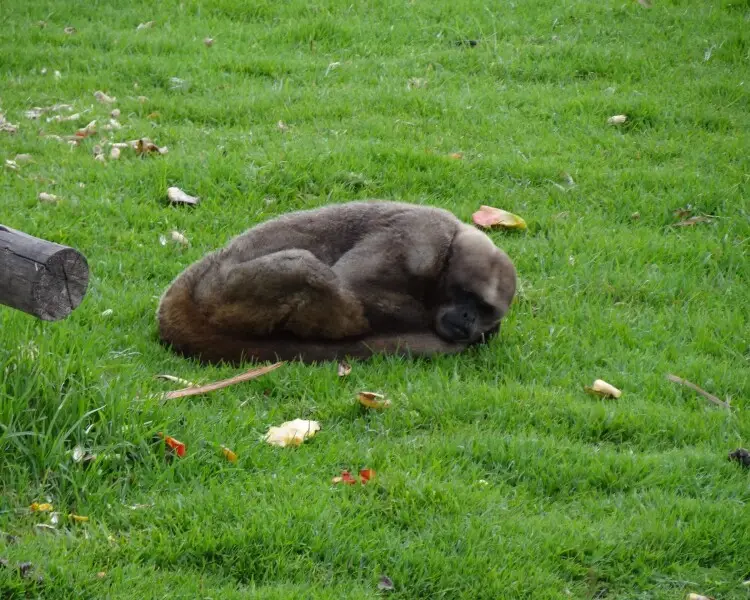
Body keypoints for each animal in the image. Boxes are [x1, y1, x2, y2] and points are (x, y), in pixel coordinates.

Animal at [156, 200, 517, 364]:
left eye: (484, 309)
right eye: (466, 296)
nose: (469, 318)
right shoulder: (421, 239)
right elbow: (355, 282)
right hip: (222, 292)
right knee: (309, 271)